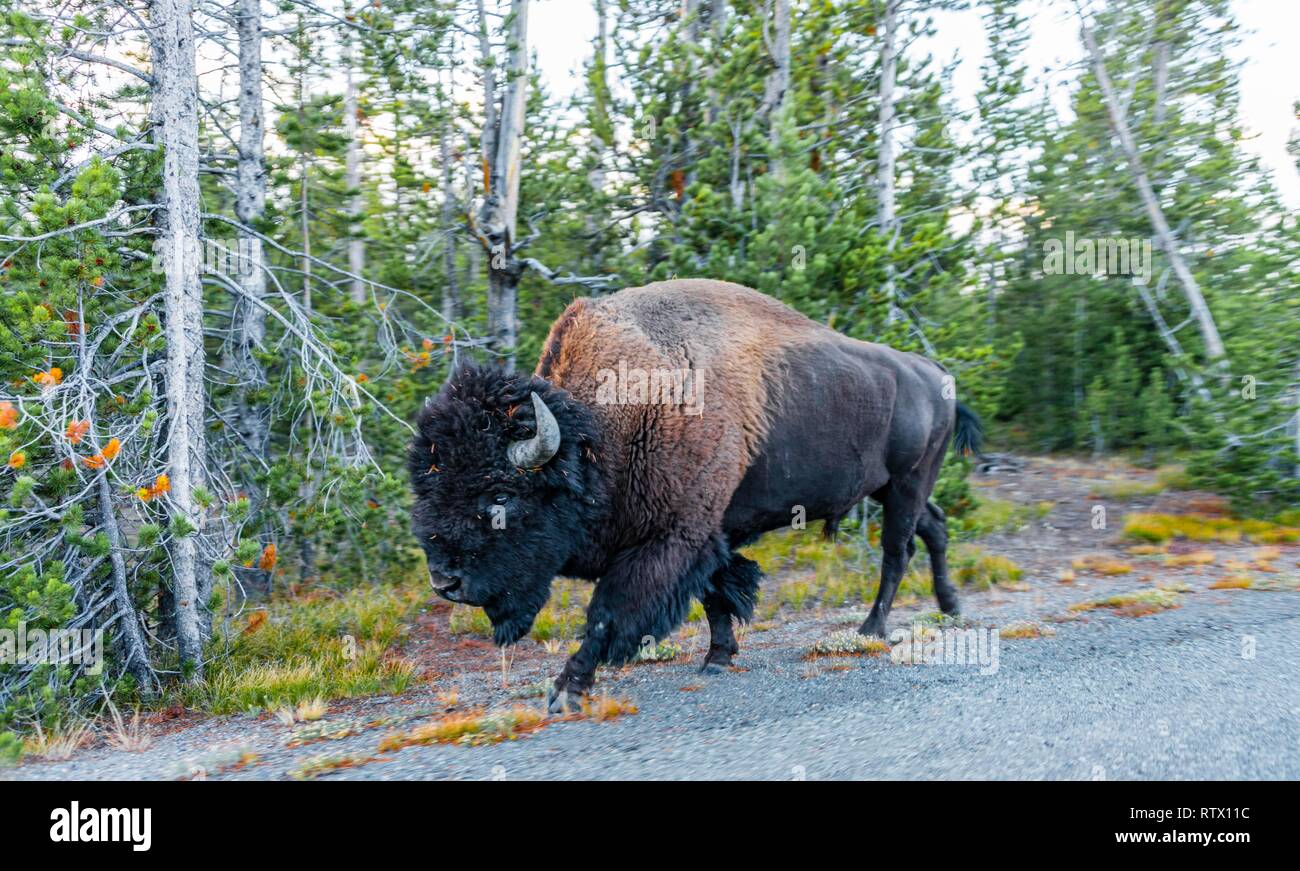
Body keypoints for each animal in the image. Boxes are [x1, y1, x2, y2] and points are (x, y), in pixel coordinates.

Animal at [409, 279, 982, 712]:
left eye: (501, 495)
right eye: (428, 487)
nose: (445, 582)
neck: (604, 431)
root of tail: (937, 372)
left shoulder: (668, 539)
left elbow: (609, 612)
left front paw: (566, 691)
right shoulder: (703, 534)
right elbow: (715, 595)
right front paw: (718, 659)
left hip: (907, 483)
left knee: (896, 551)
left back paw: (871, 629)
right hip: (896, 488)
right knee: (933, 528)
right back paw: (951, 607)